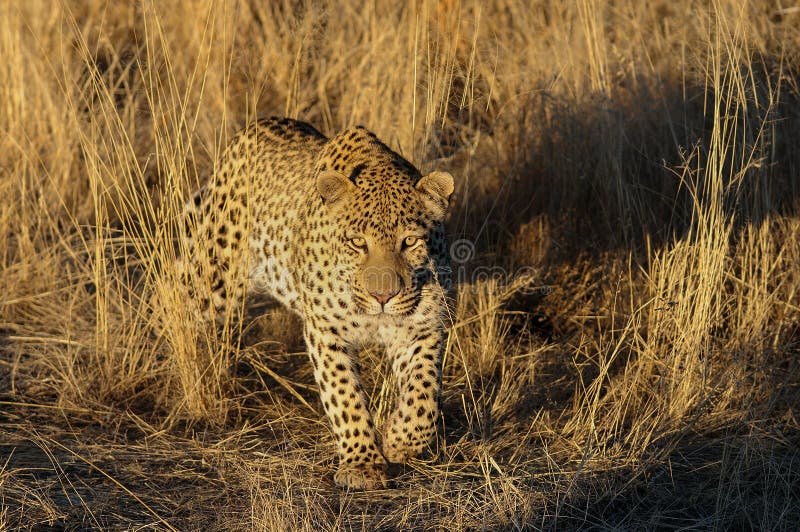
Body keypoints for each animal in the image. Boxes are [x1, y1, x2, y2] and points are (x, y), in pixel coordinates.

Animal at [175, 117, 454, 490]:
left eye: (410, 241)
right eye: (357, 242)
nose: (383, 297)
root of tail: (252, 127)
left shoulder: (421, 327)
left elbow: (424, 392)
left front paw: (401, 439)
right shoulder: (326, 332)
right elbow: (345, 396)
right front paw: (361, 465)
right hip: (215, 274)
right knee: (183, 302)